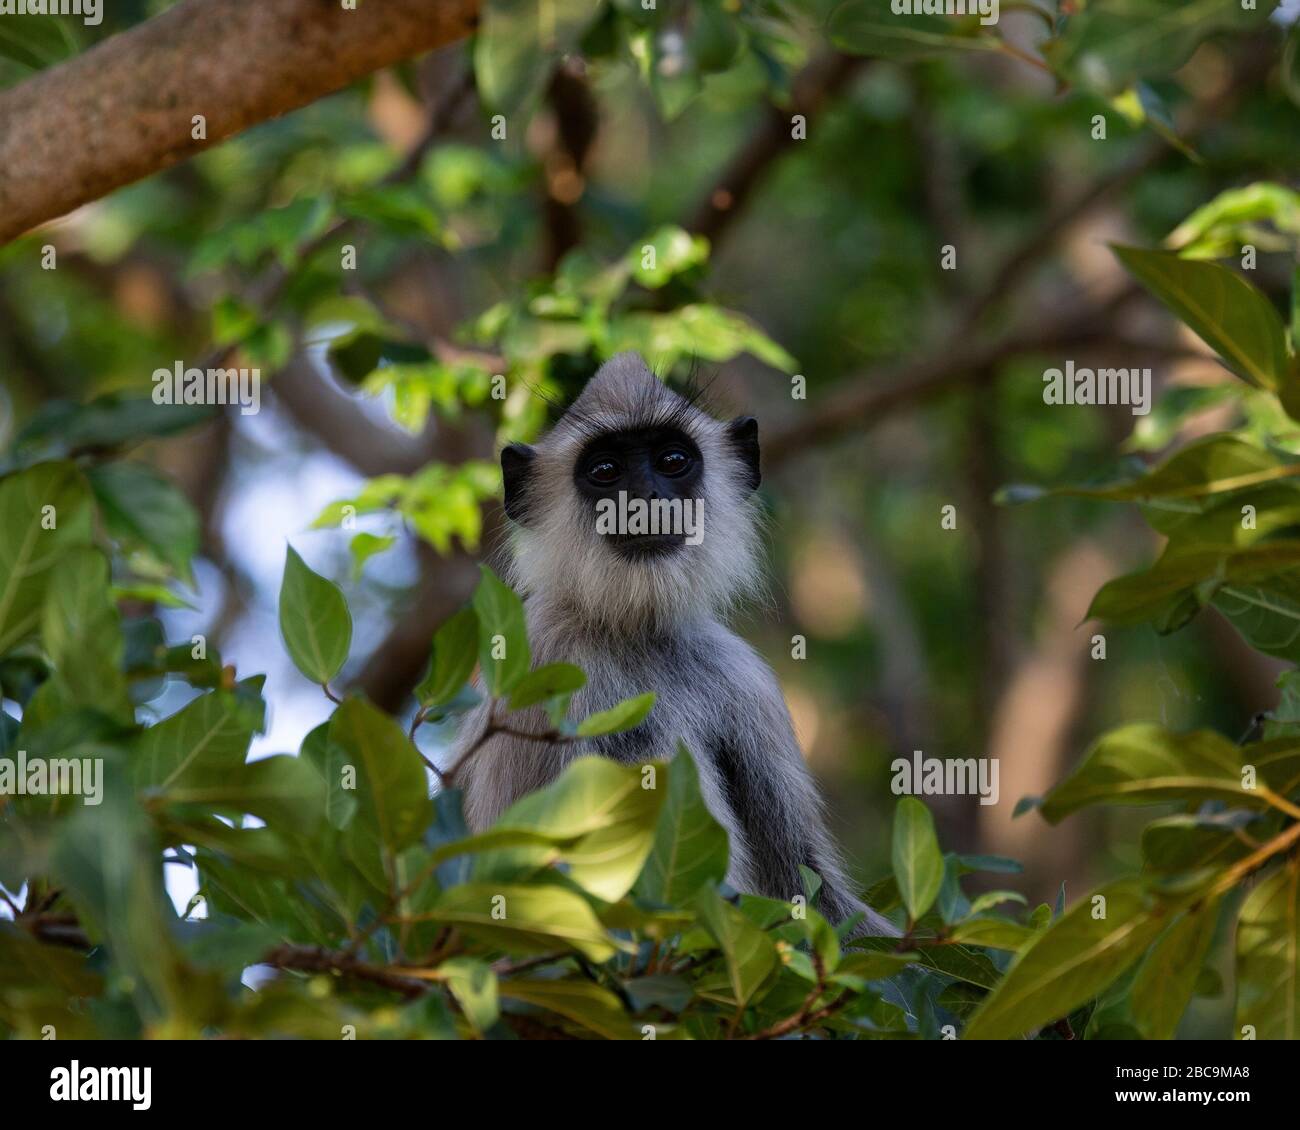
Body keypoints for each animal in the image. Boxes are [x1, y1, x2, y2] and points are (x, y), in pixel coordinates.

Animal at [452, 352, 894, 935]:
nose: (646, 499)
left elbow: (810, 886)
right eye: (605, 471)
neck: (632, 631)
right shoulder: (544, 657)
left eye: (673, 460)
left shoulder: (743, 678)